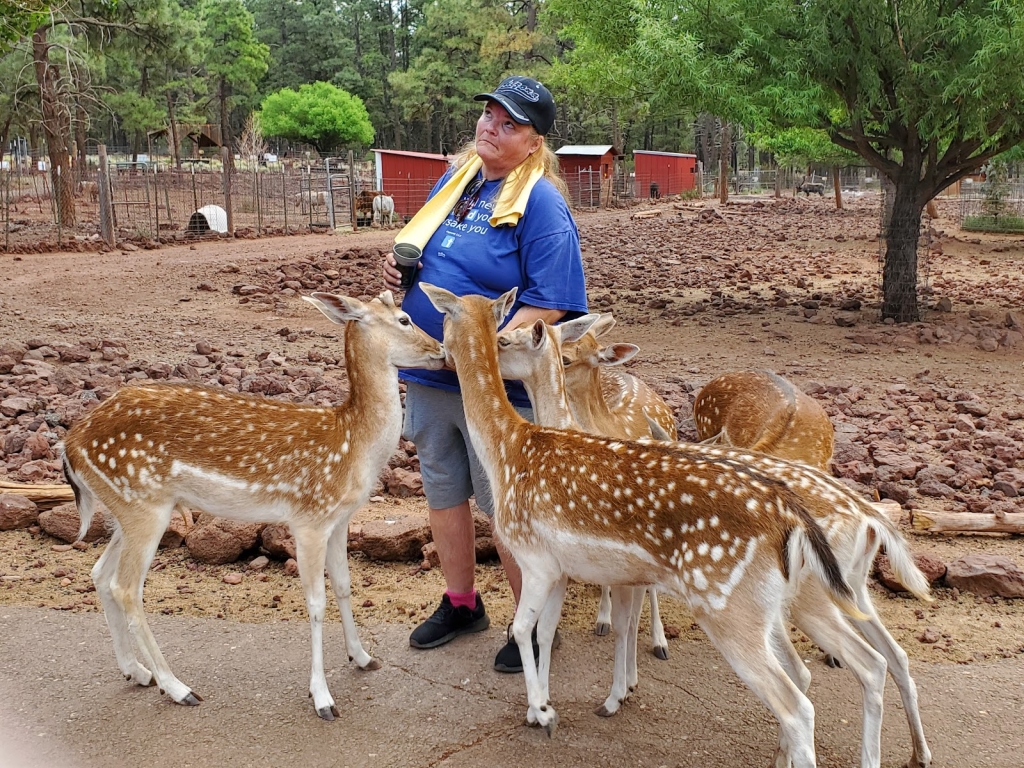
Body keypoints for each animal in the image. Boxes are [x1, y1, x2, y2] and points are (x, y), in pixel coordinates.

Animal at [60, 290, 446, 720]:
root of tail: (69, 445)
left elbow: (344, 586)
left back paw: (137, 672)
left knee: (99, 574)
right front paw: (322, 698)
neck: (354, 446)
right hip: (142, 504)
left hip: (127, 508)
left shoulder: (340, 519)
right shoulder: (309, 517)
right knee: (126, 587)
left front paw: (362, 658)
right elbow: (315, 602)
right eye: (404, 318)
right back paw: (178, 688)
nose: (441, 349)